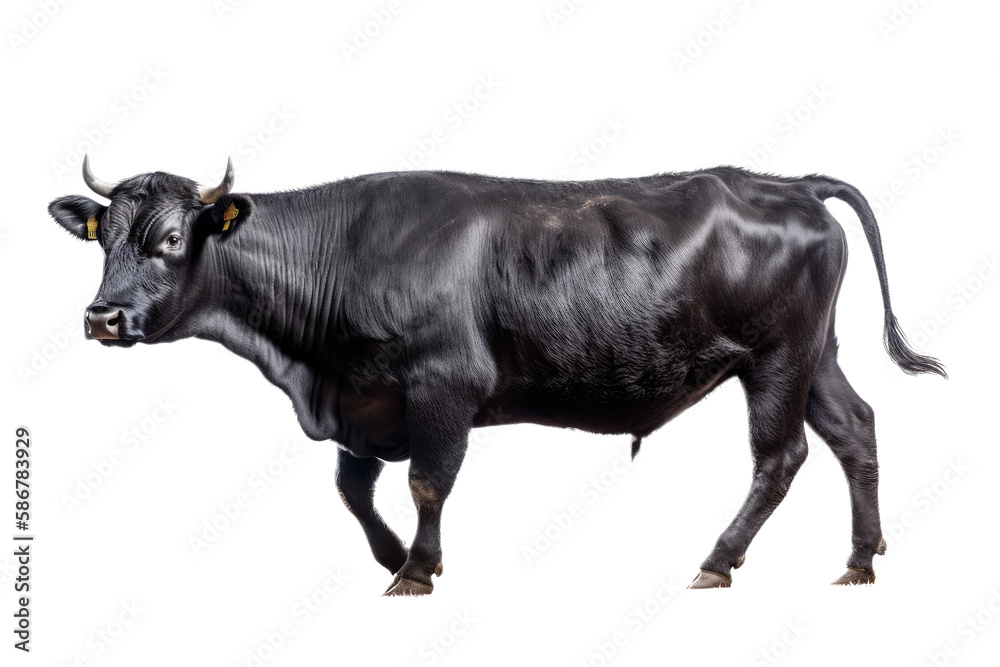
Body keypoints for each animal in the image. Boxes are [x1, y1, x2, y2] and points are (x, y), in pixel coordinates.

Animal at [47, 156, 944, 595]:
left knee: (779, 456)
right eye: (103, 237)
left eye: (171, 239)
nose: (102, 318)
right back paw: (861, 558)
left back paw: (719, 560)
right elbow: (353, 488)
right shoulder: (365, 395)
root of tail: (790, 182)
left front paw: (414, 570)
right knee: (855, 428)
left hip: (777, 356)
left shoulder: (444, 384)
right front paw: (394, 555)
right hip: (817, 353)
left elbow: (428, 482)